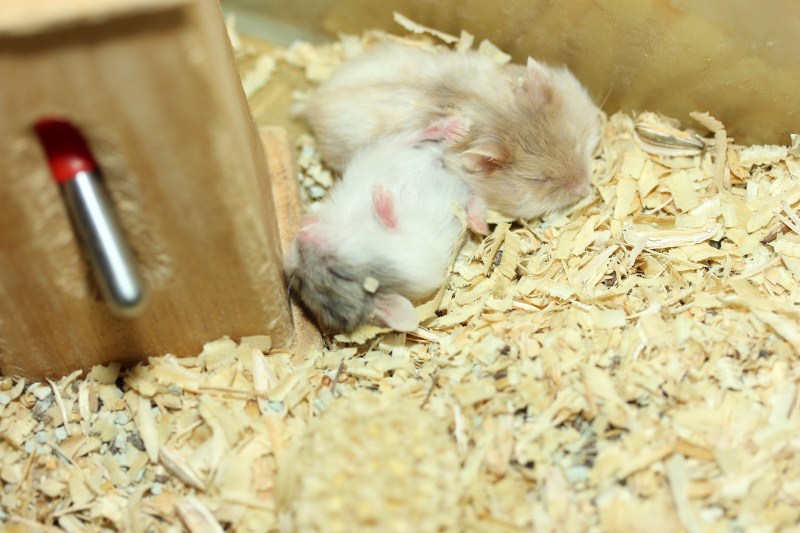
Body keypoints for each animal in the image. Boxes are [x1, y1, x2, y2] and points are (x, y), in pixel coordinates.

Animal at [284, 118, 485, 333]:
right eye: (301, 282)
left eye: (340, 274)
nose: (301, 237)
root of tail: (439, 162)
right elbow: (394, 221)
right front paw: (382, 195)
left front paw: (378, 194)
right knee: (471, 196)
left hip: (389, 148)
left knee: (416, 135)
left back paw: (455, 129)